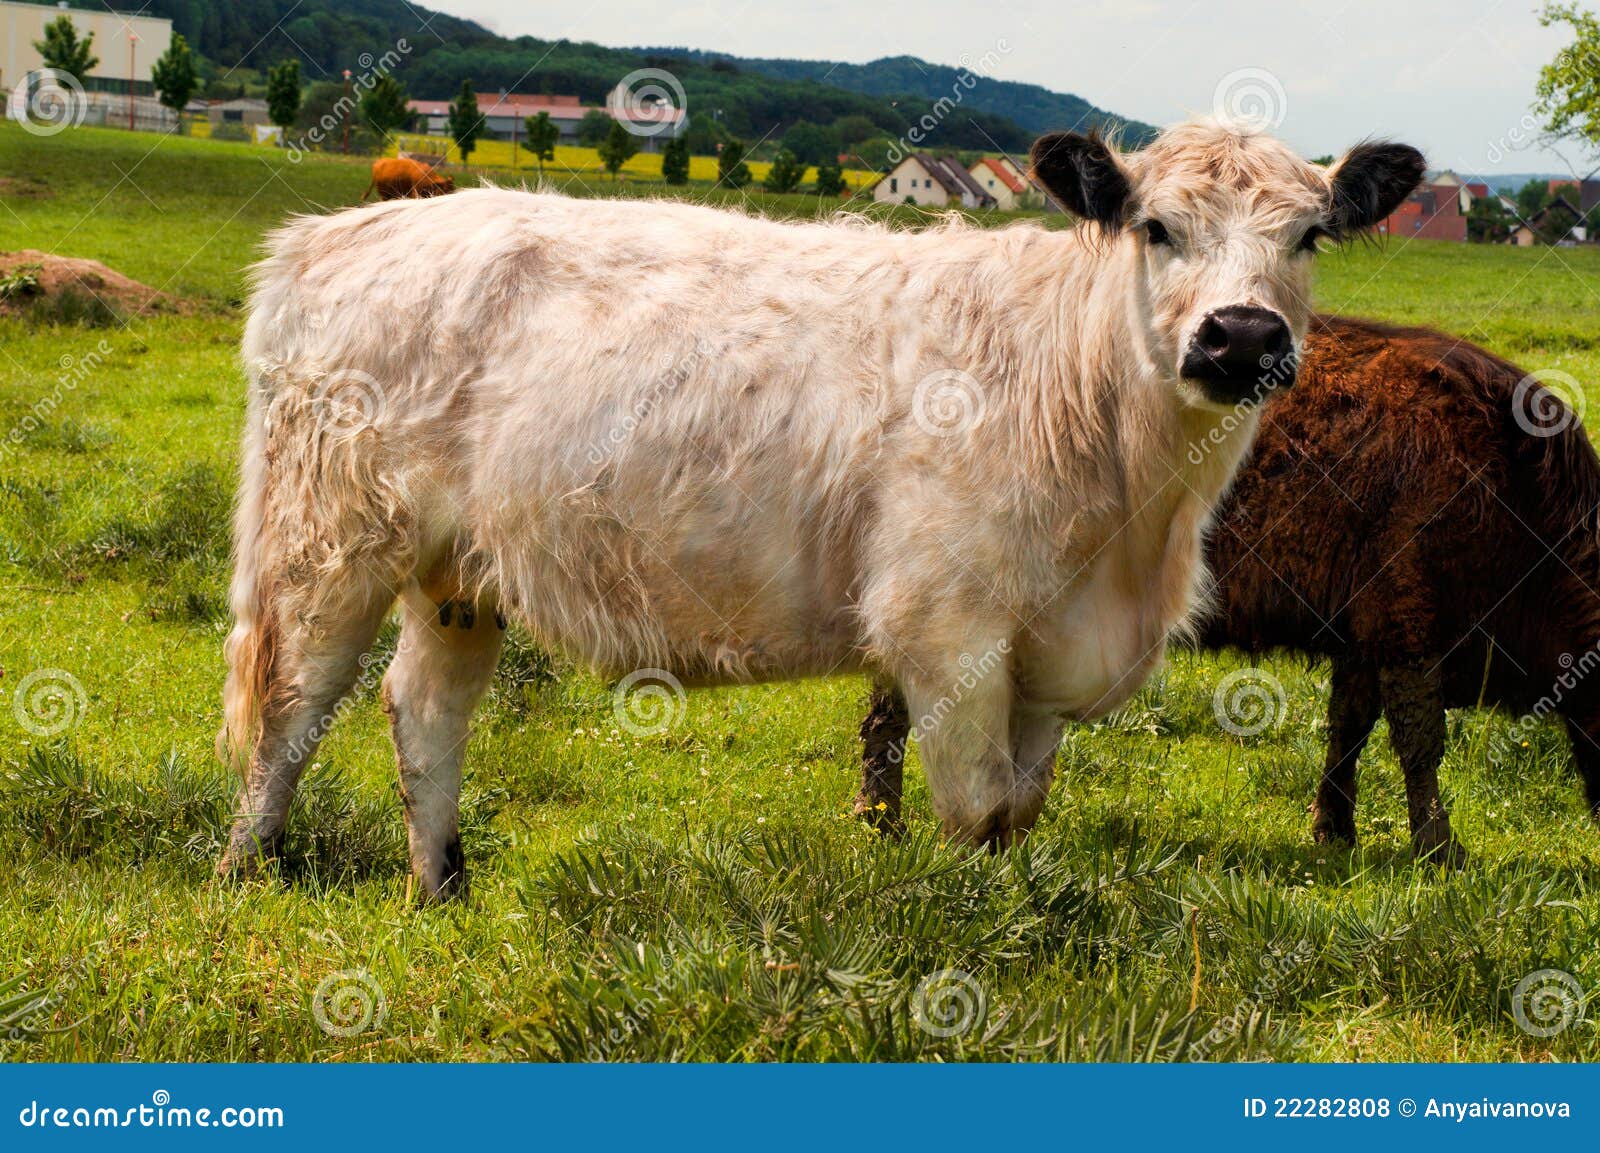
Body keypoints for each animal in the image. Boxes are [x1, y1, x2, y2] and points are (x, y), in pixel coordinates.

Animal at [219, 120, 1422, 900]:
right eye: (1157, 227)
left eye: (1310, 235)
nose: (1242, 337)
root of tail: (337, 231)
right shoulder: (943, 627)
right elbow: (976, 810)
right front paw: (976, 942)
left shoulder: (1048, 645)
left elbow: (1019, 811)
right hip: (327, 538)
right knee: (291, 705)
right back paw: (248, 870)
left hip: (457, 570)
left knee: (424, 710)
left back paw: (438, 887)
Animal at [855, 314, 1600, 864]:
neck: (1515, 483)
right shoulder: (1409, 633)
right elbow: (1419, 743)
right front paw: (1441, 849)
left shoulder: (1363, 638)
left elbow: (1348, 731)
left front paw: (1335, 830)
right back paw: (884, 824)